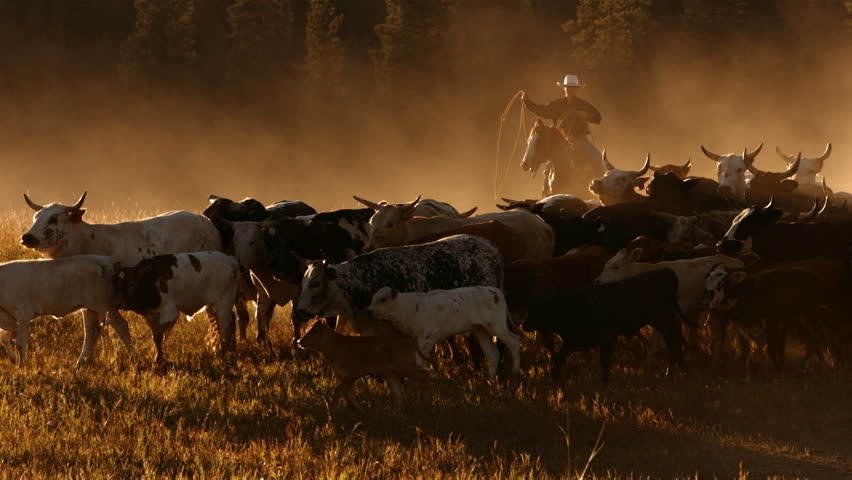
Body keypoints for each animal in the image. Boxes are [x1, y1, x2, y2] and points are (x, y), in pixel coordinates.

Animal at [0, 255, 135, 367]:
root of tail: (108, 261)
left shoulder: (23, 314)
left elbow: (20, 344)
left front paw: (21, 366)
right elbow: (4, 338)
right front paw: (14, 360)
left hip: (104, 305)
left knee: (121, 325)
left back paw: (134, 359)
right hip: (89, 308)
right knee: (91, 332)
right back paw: (80, 364)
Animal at [367, 286, 521, 379]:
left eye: (382, 300)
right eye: (372, 298)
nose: (369, 310)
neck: (407, 307)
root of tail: (494, 291)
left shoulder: (428, 336)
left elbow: (420, 359)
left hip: (496, 326)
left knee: (514, 342)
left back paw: (515, 372)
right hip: (480, 329)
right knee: (492, 354)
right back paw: (490, 380)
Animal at [522, 268, 685, 384]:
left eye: (535, 310)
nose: (524, 325)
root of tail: (667, 272)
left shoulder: (605, 339)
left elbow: (604, 362)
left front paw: (605, 383)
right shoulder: (575, 340)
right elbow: (558, 357)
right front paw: (555, 376)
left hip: (665, 322)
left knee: (675, 344)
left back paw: (678, 373)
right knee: (675, 345)